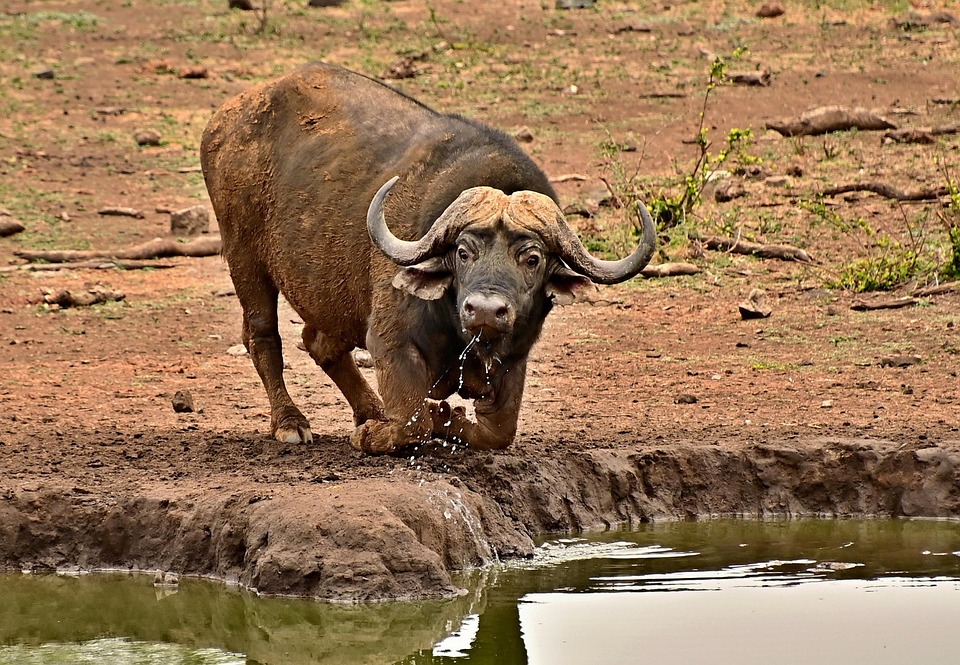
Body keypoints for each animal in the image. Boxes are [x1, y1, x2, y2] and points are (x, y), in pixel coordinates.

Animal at [200, 63, 655, 455]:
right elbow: (413, 421)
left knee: (320, 342)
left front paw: (439, 417)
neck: (460, 333)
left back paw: (370, 411)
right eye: (463, 252)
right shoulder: (391, 341)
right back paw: (291, 423)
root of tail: (224, 122)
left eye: (532, 259)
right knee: (263, 336)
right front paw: (391, 429)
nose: (485, 310)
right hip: (244, 257)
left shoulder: (515, 358)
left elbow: (498, 431)